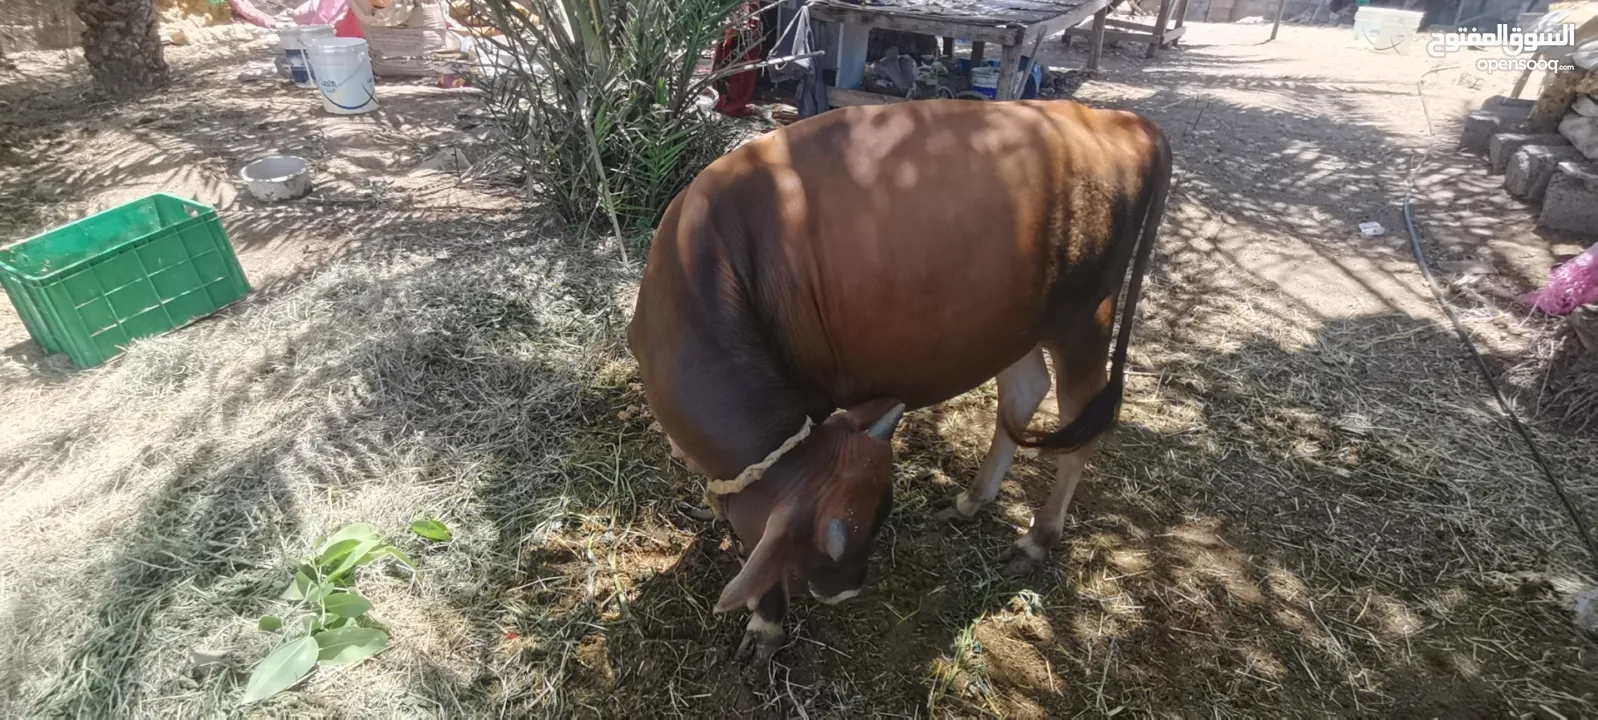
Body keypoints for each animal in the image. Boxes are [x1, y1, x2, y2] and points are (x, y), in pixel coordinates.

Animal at [626, 97, 1172, 663]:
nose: (848, 588)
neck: (707, 265)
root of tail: (1120, 121)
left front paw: (766, 621)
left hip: (1086, 319)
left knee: (1080, 429)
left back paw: (1038, 538)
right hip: (1017, 323)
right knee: (1024, 396)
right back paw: (972, 500)